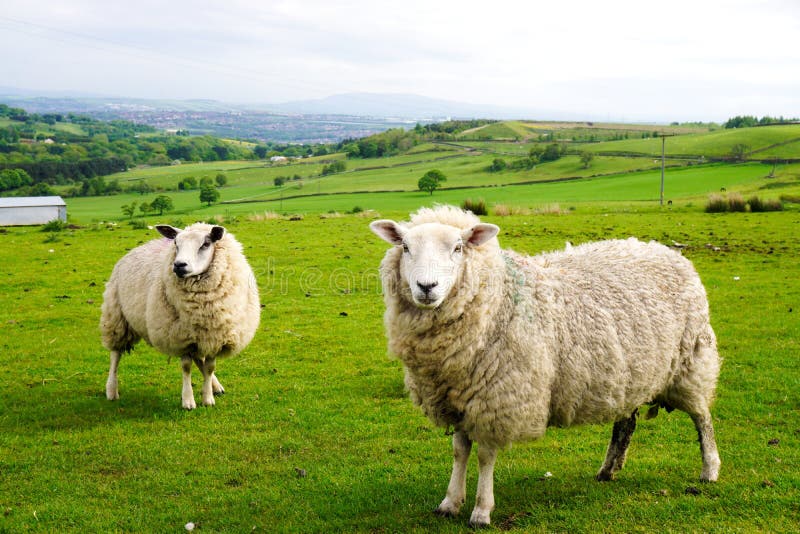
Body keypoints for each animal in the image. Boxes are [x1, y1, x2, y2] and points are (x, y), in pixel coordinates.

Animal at [100, 223, 260, 409]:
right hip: (117, 317)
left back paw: (216, 386)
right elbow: (186, 367)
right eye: (176, 243)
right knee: (115, 354)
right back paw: (111, 389)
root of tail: (140, 247)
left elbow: (209, 367)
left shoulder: (214, 336)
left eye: (206, 244)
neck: (201, 305)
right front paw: (188, 400)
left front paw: (208, 398)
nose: (178, 265)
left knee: (199, 359)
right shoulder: (180, 337)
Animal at [369, 205, 720, 528]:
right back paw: (608, 470)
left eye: (458, 248)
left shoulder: (498, 398)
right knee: (626, 423)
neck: (496, 299)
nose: (426, 287)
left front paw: (482, 511)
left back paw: (710, 469)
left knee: (702, 418)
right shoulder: (458, 396)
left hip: (692, 362)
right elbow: (459, 450)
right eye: (405, 247)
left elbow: (485, 455)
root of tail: (666, 251)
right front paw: (450, 503)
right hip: (632, 375)